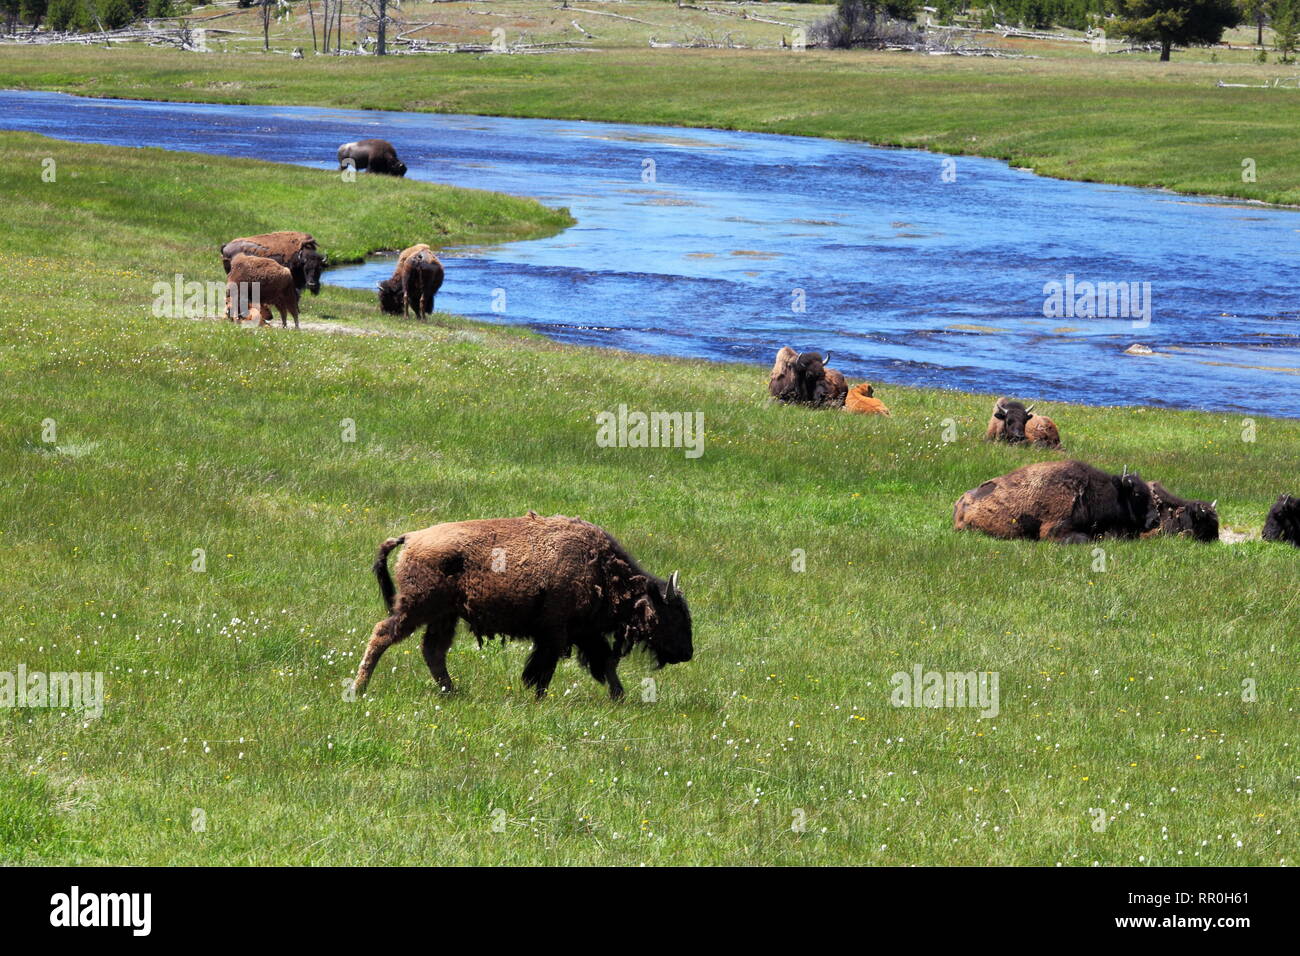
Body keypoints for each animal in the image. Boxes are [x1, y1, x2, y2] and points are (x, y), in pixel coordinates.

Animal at [352, 512, 693, 700]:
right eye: (673, 616)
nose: (687, 653)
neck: (600, 568)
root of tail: (410, 537)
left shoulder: (584, 633)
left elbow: (605, 662)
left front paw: (619, 696)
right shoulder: (556, 633)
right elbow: (545, 667)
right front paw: (539, 696)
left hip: (445, 615)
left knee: (433, 651)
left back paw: (452, 692)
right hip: (417, 608)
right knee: (384, 634)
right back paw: (359, 688)